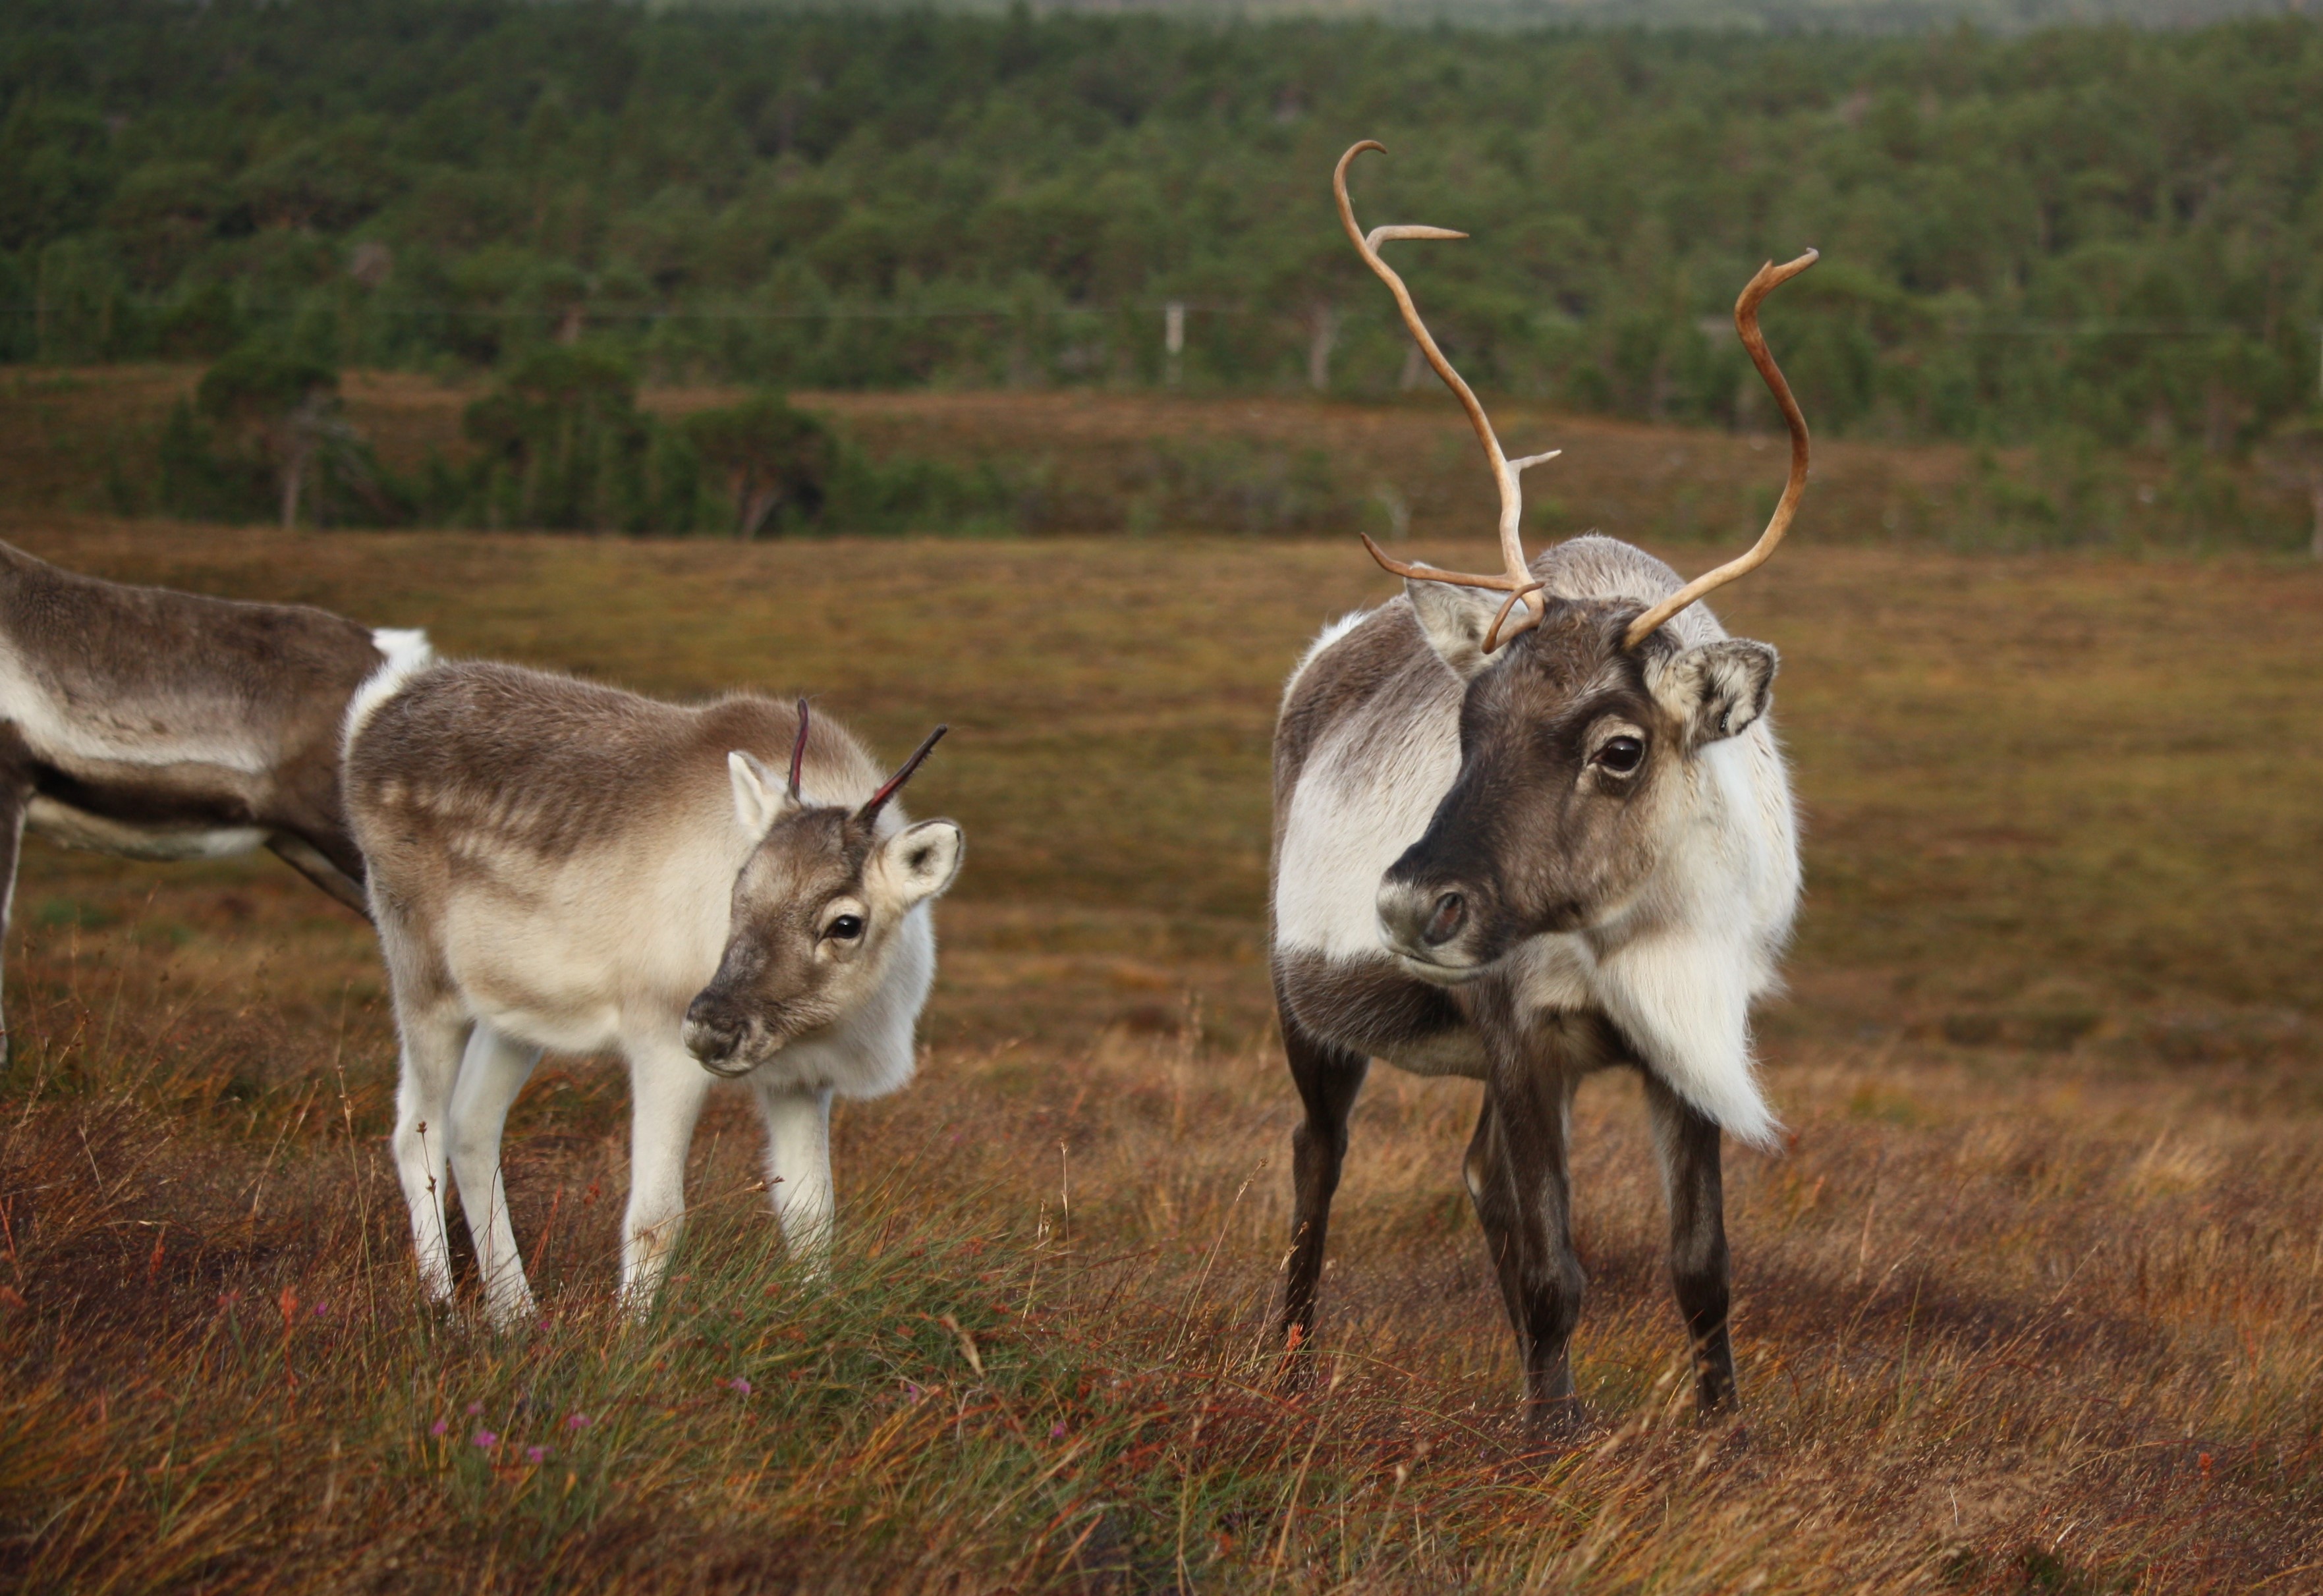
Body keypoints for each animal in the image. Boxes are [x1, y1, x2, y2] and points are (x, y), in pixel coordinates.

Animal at [343, 662, 964, 1324]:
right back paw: (444, 1307)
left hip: (513, 1013)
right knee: (417, 1130)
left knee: (470, 1126)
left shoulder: (801, 1079)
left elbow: (810, 1213)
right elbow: (656, 1219)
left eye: (845, 923)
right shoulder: (663, 1043)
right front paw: (629, 1335)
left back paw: (516, 1316)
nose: (712, 1025)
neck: (847, 1026)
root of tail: (373, 709)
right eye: (739, 890)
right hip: (424, 977)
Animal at [1268, 141, 1817, 1432]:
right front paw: (1551, 1434)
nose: (1411, 901)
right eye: (1467, 722)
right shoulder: (1520, 1029)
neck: (1636, 922)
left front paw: (1720, 1431)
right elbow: (1556, 1265)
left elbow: (1699, 1263)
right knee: (1320, 1161)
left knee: (1476, 1179)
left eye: (1620, 747)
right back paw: (1288, 1368)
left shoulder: (1693, 1031)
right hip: (1306, 1007)